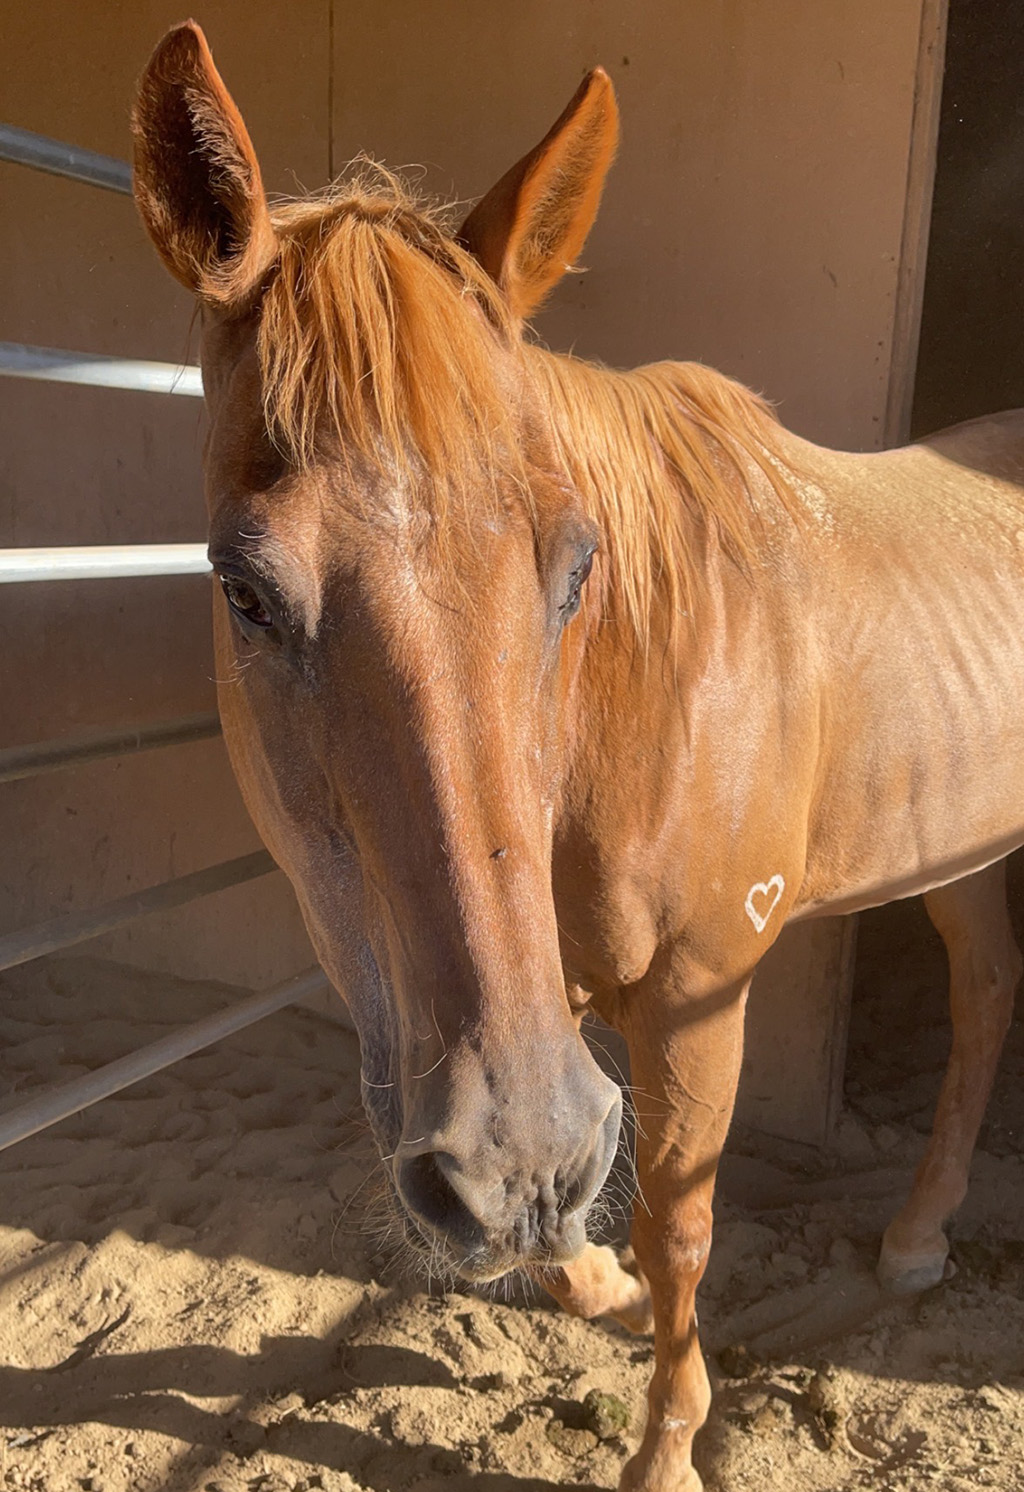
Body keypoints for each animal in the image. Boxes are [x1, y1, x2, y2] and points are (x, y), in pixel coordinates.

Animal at [132, 24, 1024, 1492]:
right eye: (243, 589)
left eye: (574, 562)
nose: (514, 1164)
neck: (631, 707)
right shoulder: (525, 1015)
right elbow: (578, 1210)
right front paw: (586, 1271)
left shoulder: (700, 990)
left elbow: (679, 1221)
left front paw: (664, 1445)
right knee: (988, 987)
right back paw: (914, 1236)